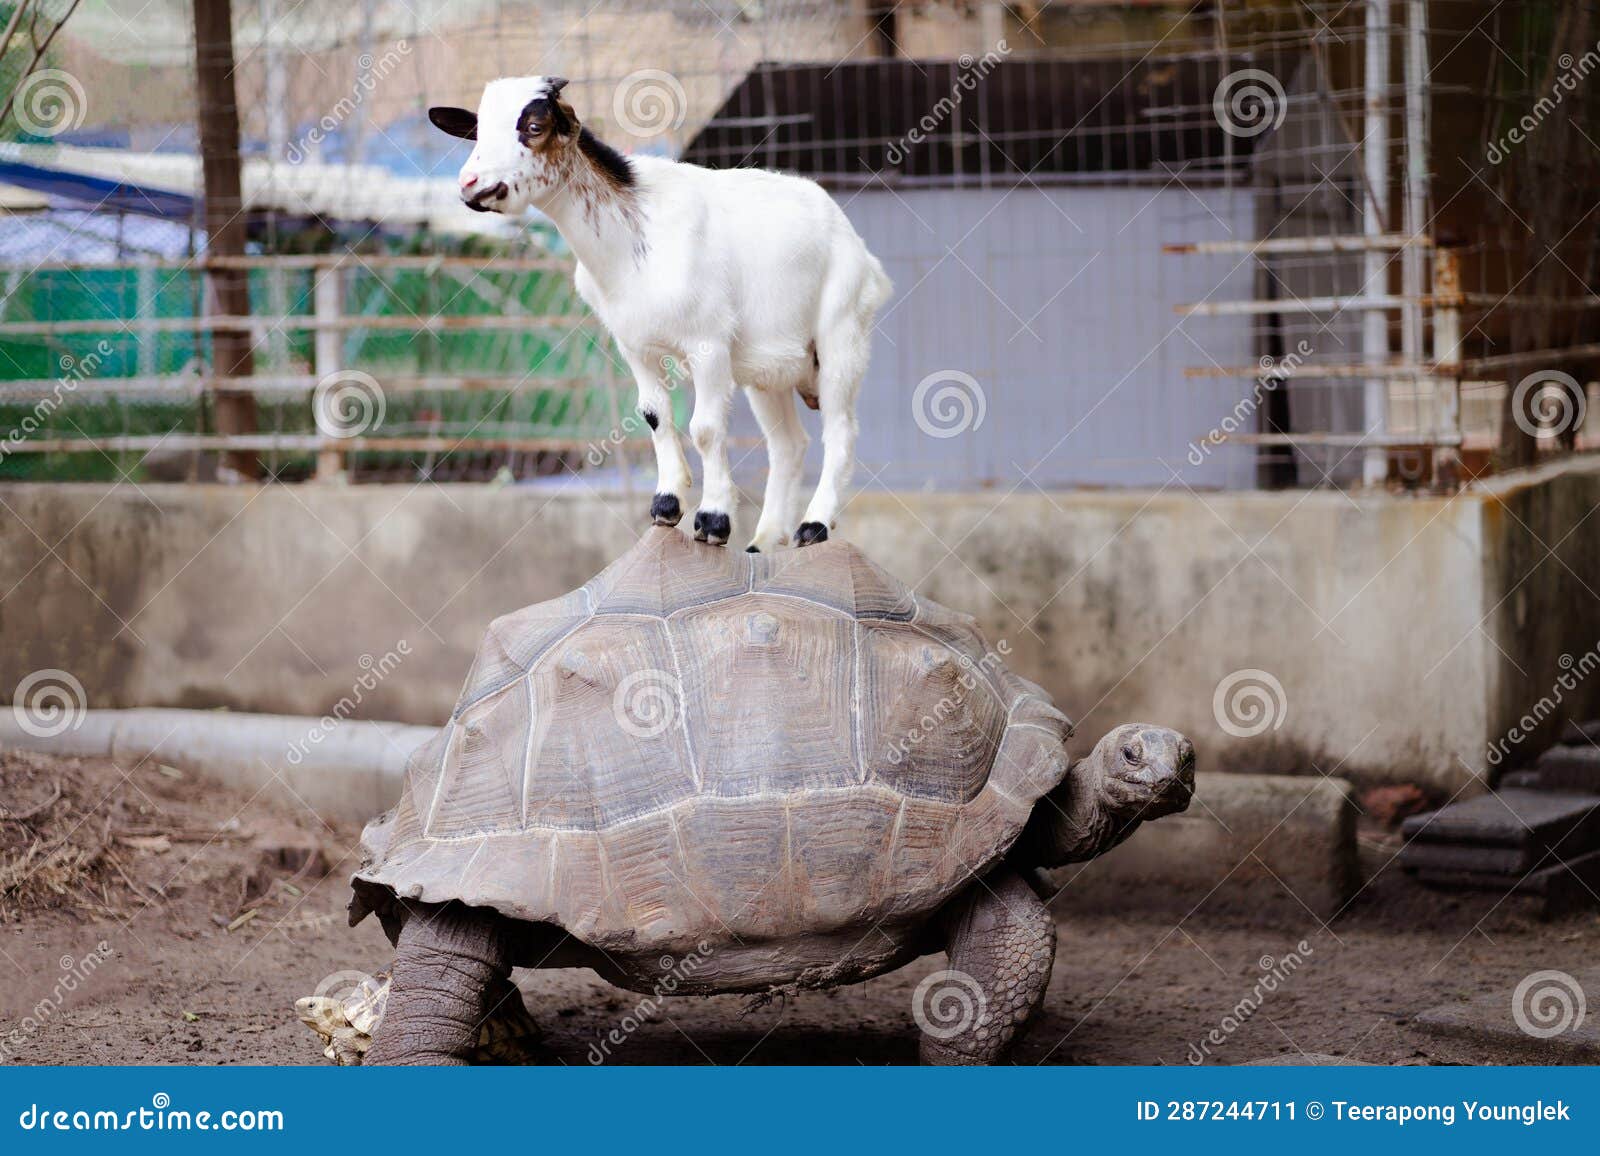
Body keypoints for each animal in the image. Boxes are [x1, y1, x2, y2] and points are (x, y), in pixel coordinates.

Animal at [430, 76, 892, 550]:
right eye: (477, 132)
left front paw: (713, 520)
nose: (470, 183)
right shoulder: (633, 345)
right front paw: (667, 506)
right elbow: (653, 415)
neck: (631, 242)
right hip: (768, 368)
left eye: (534, 126)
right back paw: (761, 543)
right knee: (789, 444)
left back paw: (813, 526)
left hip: (842, 333)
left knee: (840, 431)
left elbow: (705, 428)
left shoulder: (709, 343)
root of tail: (858, 248)